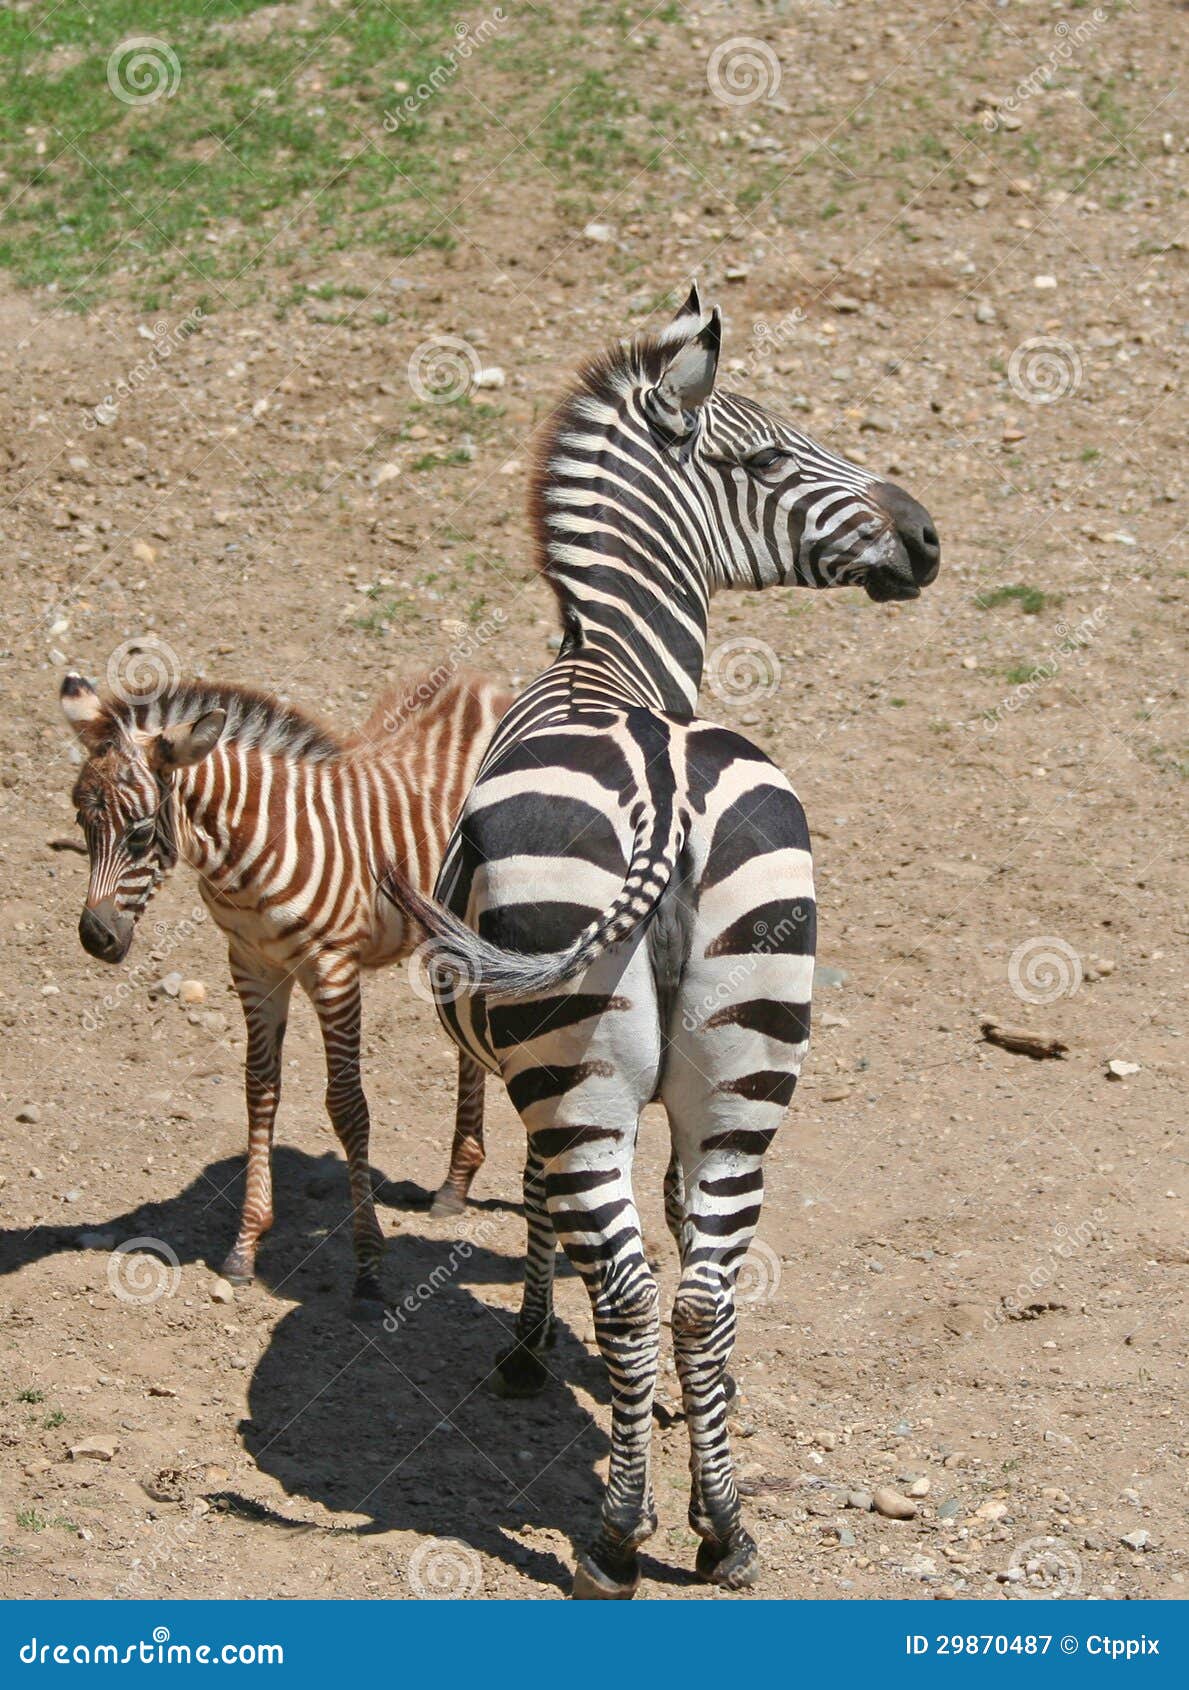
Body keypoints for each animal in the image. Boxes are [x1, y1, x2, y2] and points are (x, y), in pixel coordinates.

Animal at [59, 665, 512, 1309]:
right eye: (82, 822)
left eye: (143, 834)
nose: (96, 938)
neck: (251, 845)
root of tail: (493, 692)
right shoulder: (253, 964)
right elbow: (259, 1091)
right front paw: (245, 1246)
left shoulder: (332, 967)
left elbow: (347, 1107)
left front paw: (368, 1264)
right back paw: (454, 1184)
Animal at [385, 284, 939, 1595]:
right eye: (771, 456)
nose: (927, 538)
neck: (610, 663)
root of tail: (666, 787)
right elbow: (675, 1215)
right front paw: (697, 1425)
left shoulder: (527, 1068)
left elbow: (543, 1201)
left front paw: (530, 1347)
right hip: (748, 1051)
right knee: (700, 1293)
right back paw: (723, 1526)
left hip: (574, 1065)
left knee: (640, 1294)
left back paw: (616, 1534)